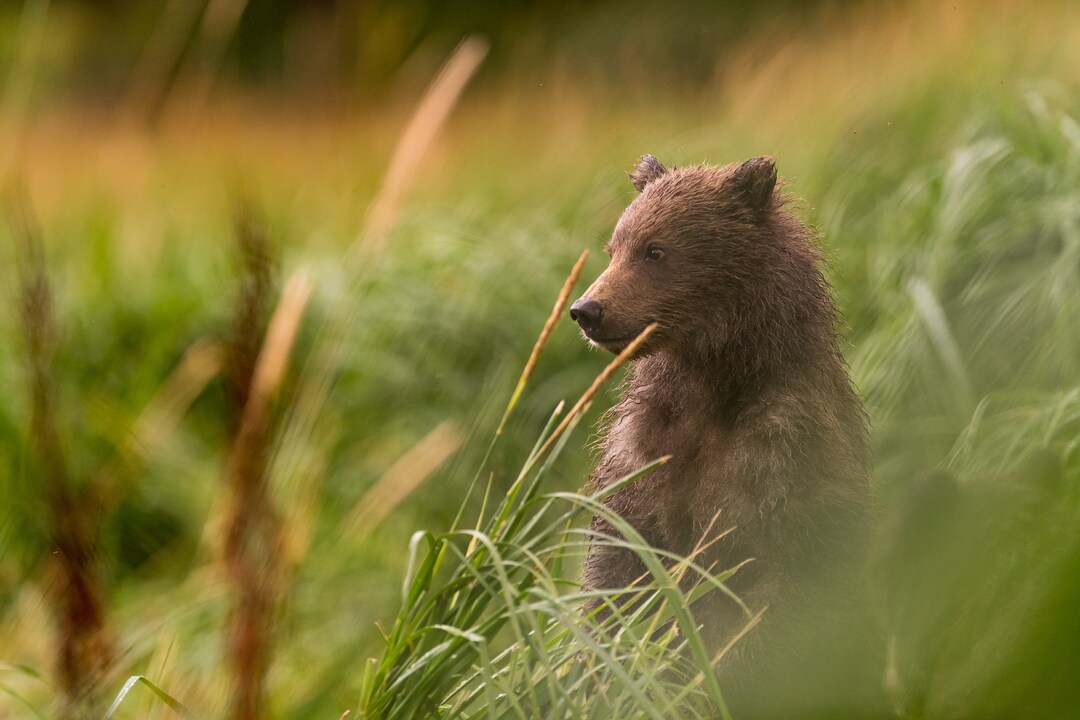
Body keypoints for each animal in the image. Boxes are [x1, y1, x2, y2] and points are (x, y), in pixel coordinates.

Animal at [570, 155, 880, 718]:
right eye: (614, 247)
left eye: (655, 249)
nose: (587, 309)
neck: (712, 385)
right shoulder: (642, 455)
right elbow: (620, 572)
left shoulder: (785, 453)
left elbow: (780, 593)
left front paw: (712, 684)